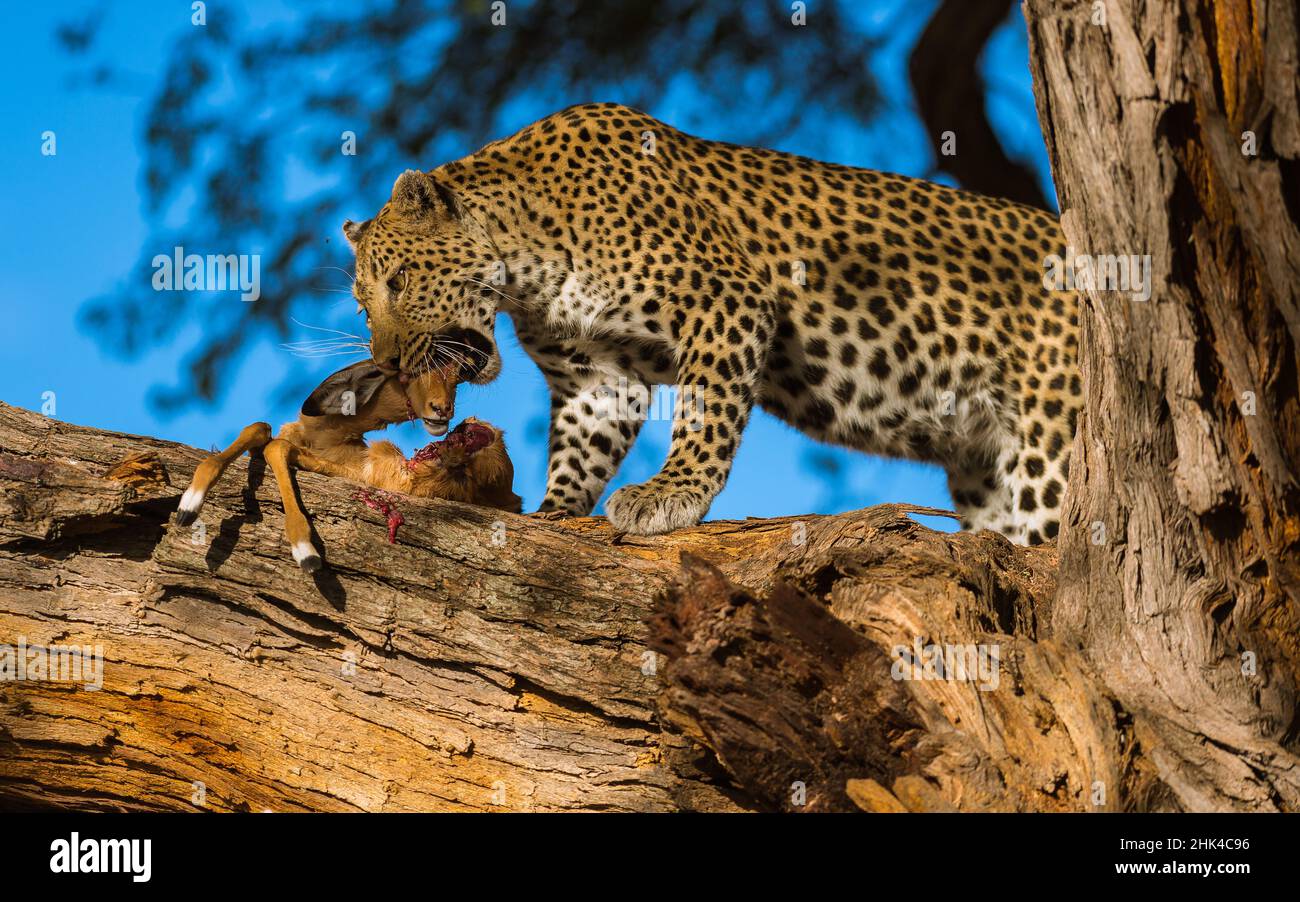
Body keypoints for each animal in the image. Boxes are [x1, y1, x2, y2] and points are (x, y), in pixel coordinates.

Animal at [175, 360, 521, 571]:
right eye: (469, 434)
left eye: (465, 472)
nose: (454, 430)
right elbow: (262, 430)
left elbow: (277, 446)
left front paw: (304, 548)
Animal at [342, 102, 1079, 543]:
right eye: (361, 307)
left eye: (398, 281)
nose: (389, 363)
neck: (527, 266)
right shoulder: (594, 378)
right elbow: (578, 450)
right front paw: (555, 513)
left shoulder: (727, 301)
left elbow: (706, 412)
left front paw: (672, 494)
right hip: (988, 472)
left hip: (1053, 447)